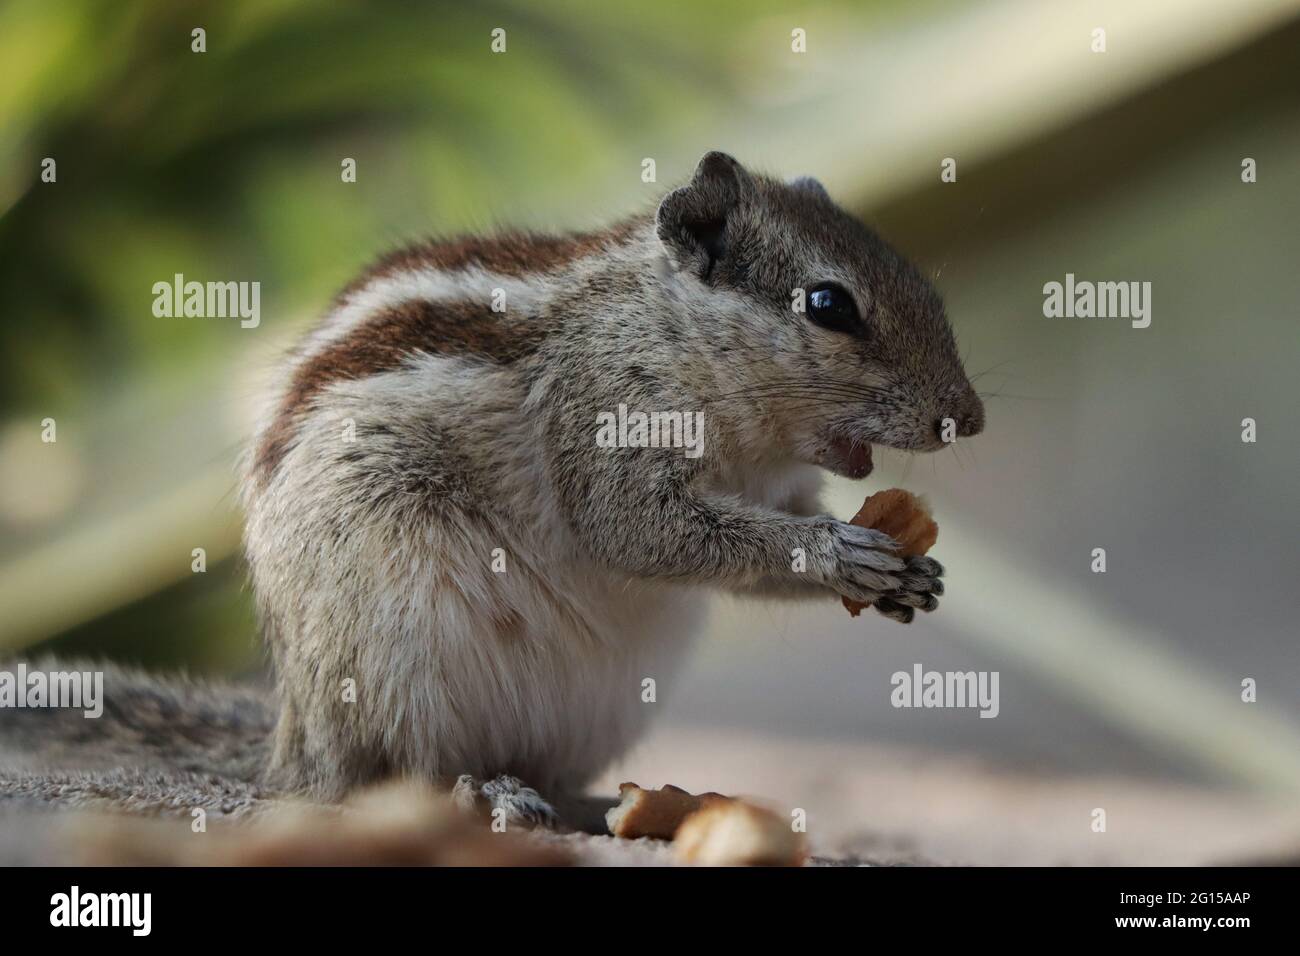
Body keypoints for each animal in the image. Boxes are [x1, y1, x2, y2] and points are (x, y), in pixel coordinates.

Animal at [0, 151, 982, 833]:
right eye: (828, 304)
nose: (967, 419)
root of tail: (293, 739)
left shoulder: (773, 480)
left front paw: (905, 577)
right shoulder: (606, 425)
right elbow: (644, 533)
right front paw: (837, 554)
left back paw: (597, 803)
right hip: (398, 637)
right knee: (387, 776)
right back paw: (482, 793)